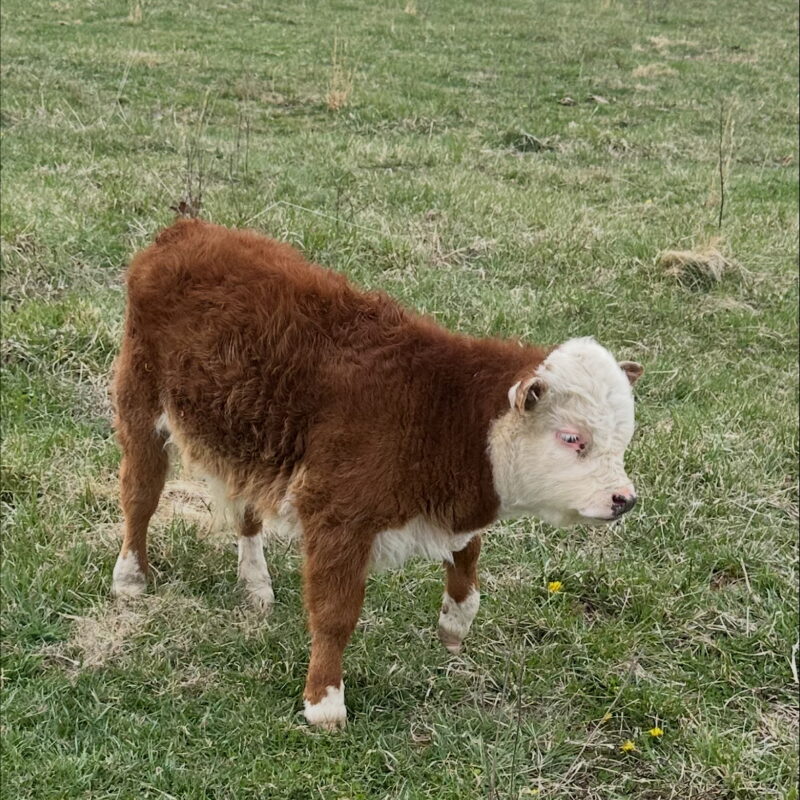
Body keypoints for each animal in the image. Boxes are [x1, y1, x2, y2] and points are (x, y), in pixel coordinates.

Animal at [111, 219, 643, 729]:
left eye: (623, 438)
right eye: (572, 438)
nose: (624, 499)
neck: (442, 411)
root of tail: (185, 232)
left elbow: (468, 567)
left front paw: (453, 626)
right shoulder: (337, 514)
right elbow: (335, 614)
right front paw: (324, 704)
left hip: (245, 437)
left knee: (246, 509)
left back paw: (256, 583)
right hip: (140, 399)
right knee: (140, 492)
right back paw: (131, 576)